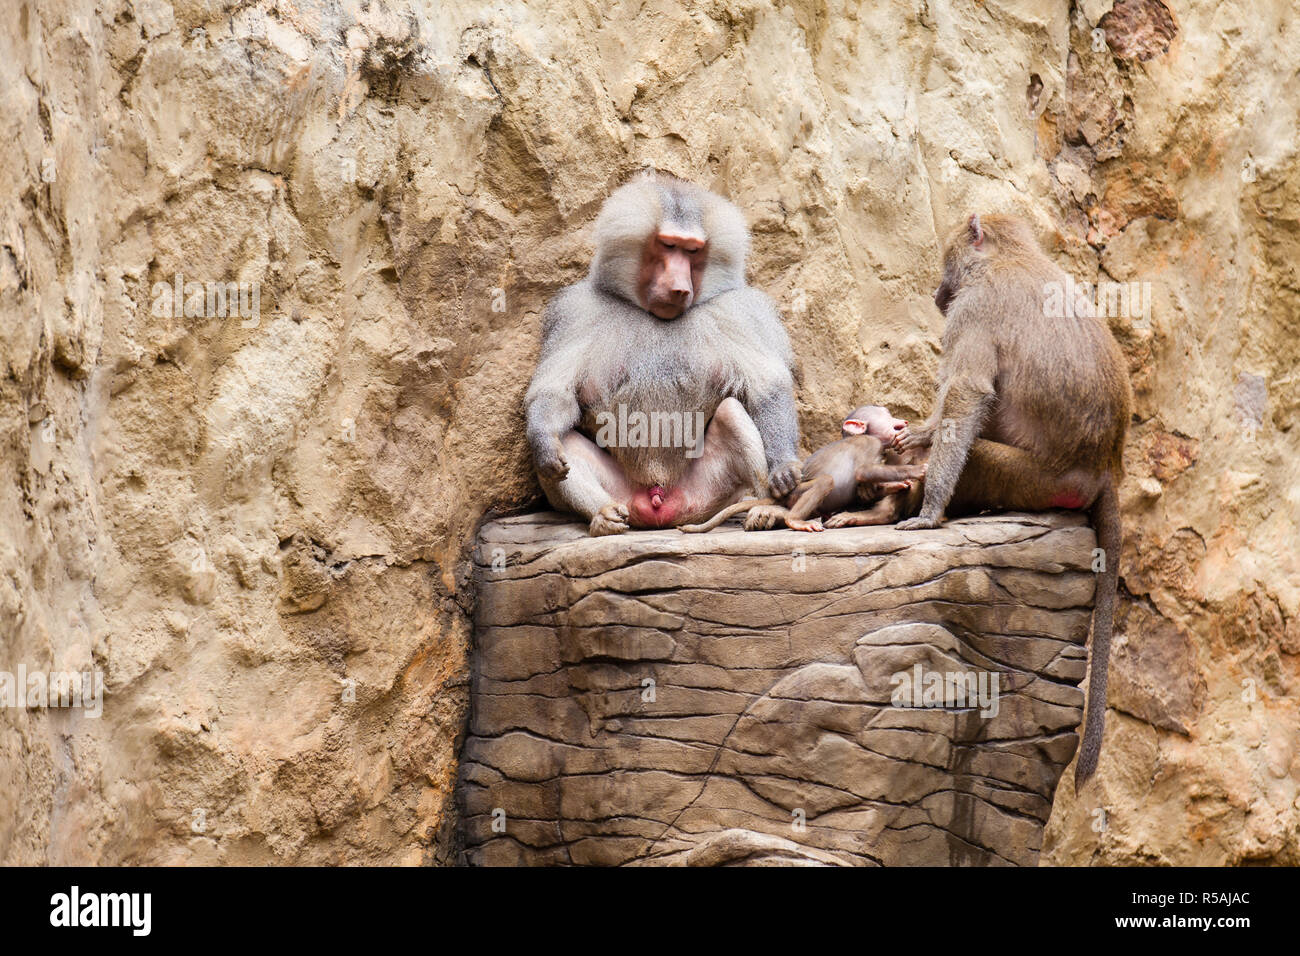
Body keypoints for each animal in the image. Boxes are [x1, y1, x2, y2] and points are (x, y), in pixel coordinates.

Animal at [525, 171, 802, 536]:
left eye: (692, 250)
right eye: (668, 245)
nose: (680, 288)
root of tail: (661, 507)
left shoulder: (740, 314)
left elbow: (768, 388)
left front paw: (784, 467)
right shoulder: (576, 315)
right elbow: (557, 393)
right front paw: (544, 443)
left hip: (704, 495)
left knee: (732, 413)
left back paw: (767, 508)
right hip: (626, 494)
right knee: (568, 444)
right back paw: (603, 517)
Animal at [680, 405, 926, 533]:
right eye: (887, 415)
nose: (903, 421)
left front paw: (895, 485)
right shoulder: (870, 443)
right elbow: (863, 472)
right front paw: (916, 471)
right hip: (798, 493)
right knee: (825, 482)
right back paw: (794, 521)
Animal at [891, 212, 1131, 786]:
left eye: (947, 265)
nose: (937, 294)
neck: (1012, 256)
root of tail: (1104, 467)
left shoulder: (974, 309)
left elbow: (969, 392)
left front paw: (929, 510)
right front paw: (921, 433)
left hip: (1035, 479)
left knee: (979, 454)